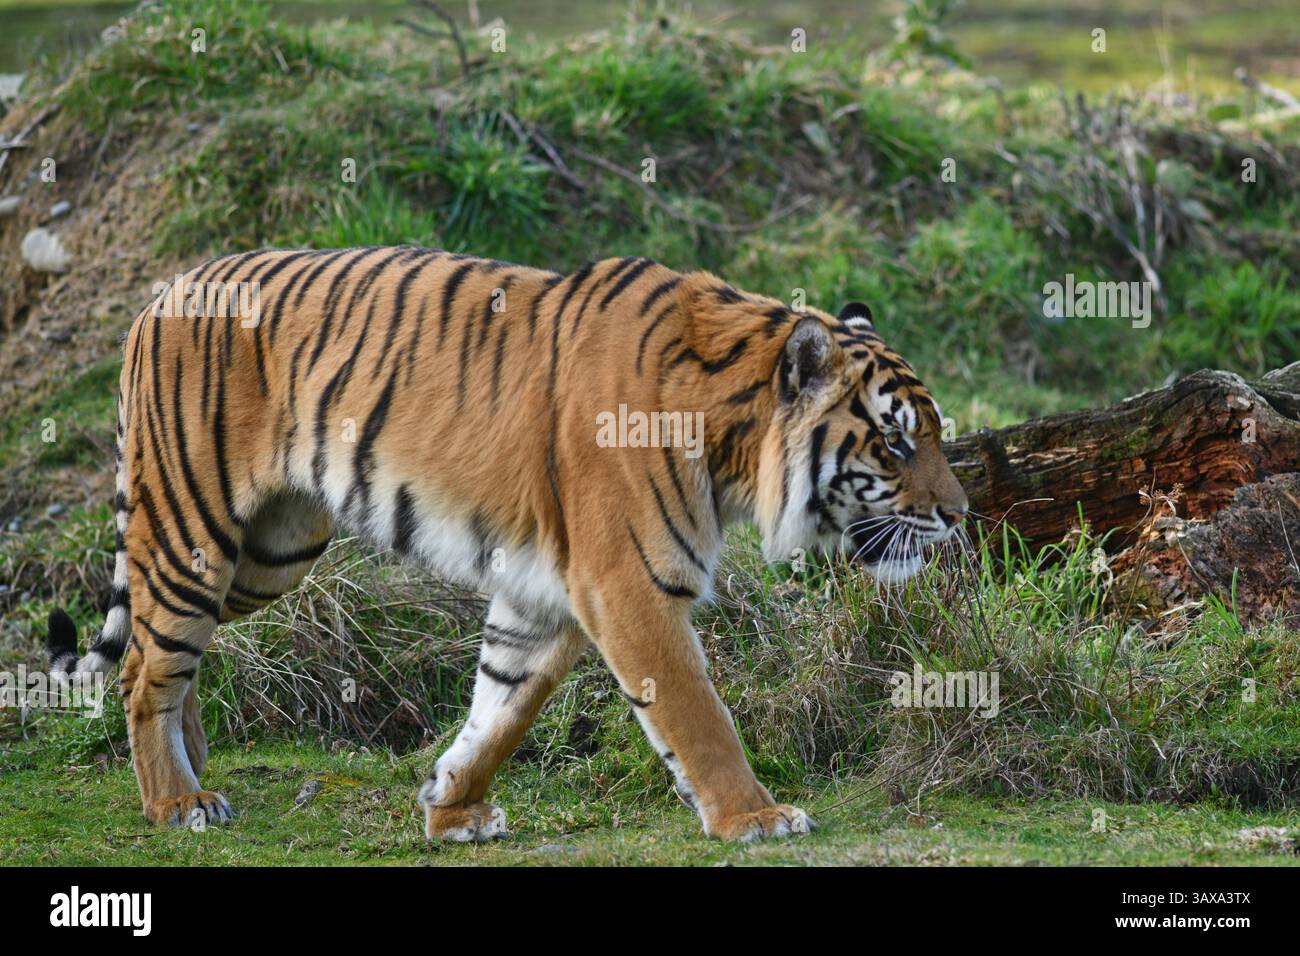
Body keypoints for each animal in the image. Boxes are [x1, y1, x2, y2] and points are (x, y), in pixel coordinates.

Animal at [46, 247, 967, 843]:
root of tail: (162, 291)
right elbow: (696, 713)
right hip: (195, 530)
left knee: (173, 653)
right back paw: (175, 803)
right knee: (145, 662)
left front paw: (450, 806)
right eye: (894, 442)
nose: (959, 514)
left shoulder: (545, 592)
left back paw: (194, 769)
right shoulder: (627, 583)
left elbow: (502, 707)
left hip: (272, 549)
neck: (728, 437)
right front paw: (757, 817)